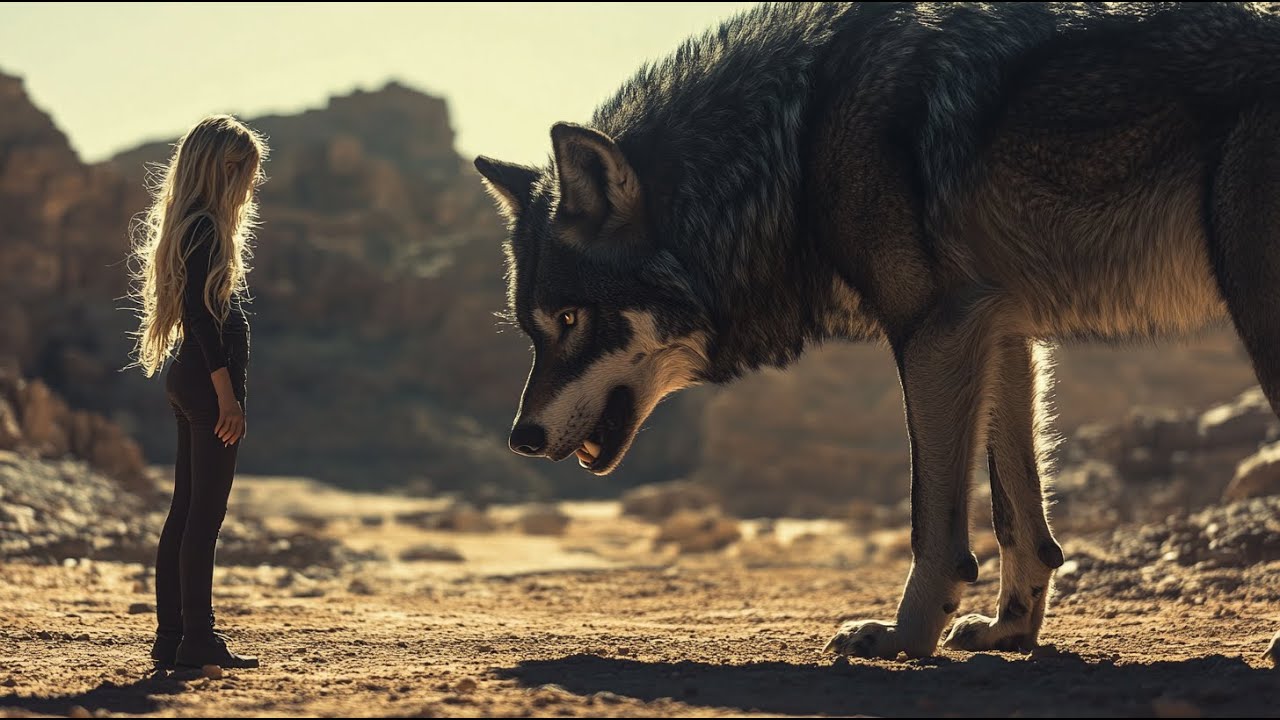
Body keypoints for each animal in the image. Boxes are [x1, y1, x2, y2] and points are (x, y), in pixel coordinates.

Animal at [474, 1, 1280, 660]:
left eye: (571, 319)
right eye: (534, 331)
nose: (520, 438)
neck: (796, 139)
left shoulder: (935, 327)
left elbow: (935, 523)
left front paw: (903, 637)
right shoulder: (1002, 331)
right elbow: (1019, 517)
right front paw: (1010, 630)